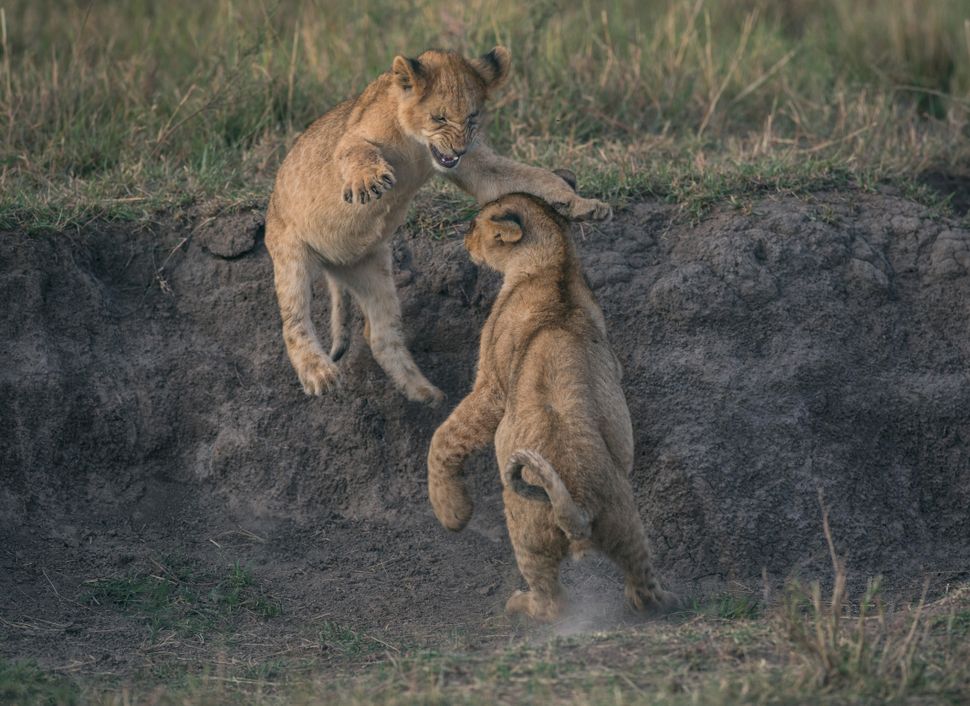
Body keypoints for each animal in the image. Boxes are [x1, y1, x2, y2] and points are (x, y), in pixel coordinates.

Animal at [265, 47, 611, 404]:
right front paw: (369, 180)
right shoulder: (353, 137)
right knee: (293, 322)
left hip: (373, 270)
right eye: (439, 118)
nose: (458, 148)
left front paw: (584, 205)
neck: (416, 145)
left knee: (380, 335)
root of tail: (333, 263)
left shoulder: (476, 164)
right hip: (290, 251)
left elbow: (535, 178)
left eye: (472, 117)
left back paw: (425, 393)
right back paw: (318, 374)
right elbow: (356, 151)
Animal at [426, 192, 676, 622]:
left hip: (525, 522)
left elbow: (445, 436)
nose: (465, 241)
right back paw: (661, 601)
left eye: (475, 225)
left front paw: (452, 511)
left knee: (552, 601)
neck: (556, 261)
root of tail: (574, 506)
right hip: (625, 519)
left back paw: (522, 604)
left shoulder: (492, 386)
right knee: (643, 583)